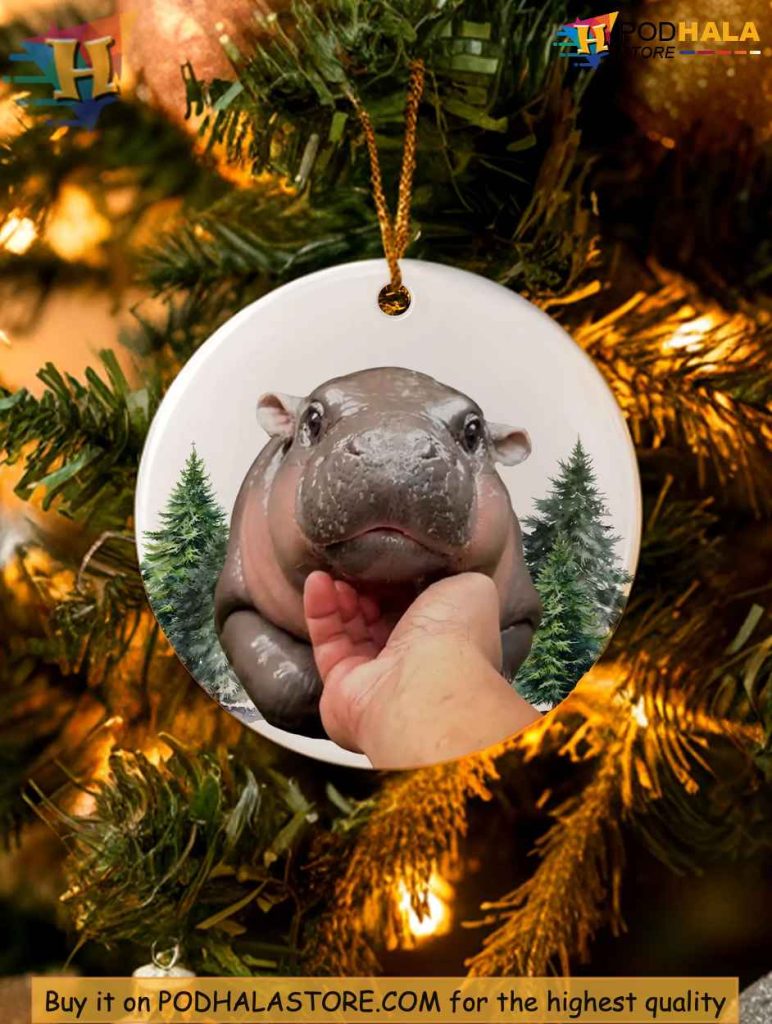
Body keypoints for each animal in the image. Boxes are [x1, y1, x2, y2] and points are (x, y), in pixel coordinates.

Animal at [214, 367, 541, 738]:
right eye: (312, 418)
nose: (393, 449)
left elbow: (503, 655)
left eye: (473, 431)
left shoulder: (523, 614)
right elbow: (285, 680)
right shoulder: (235, 602)